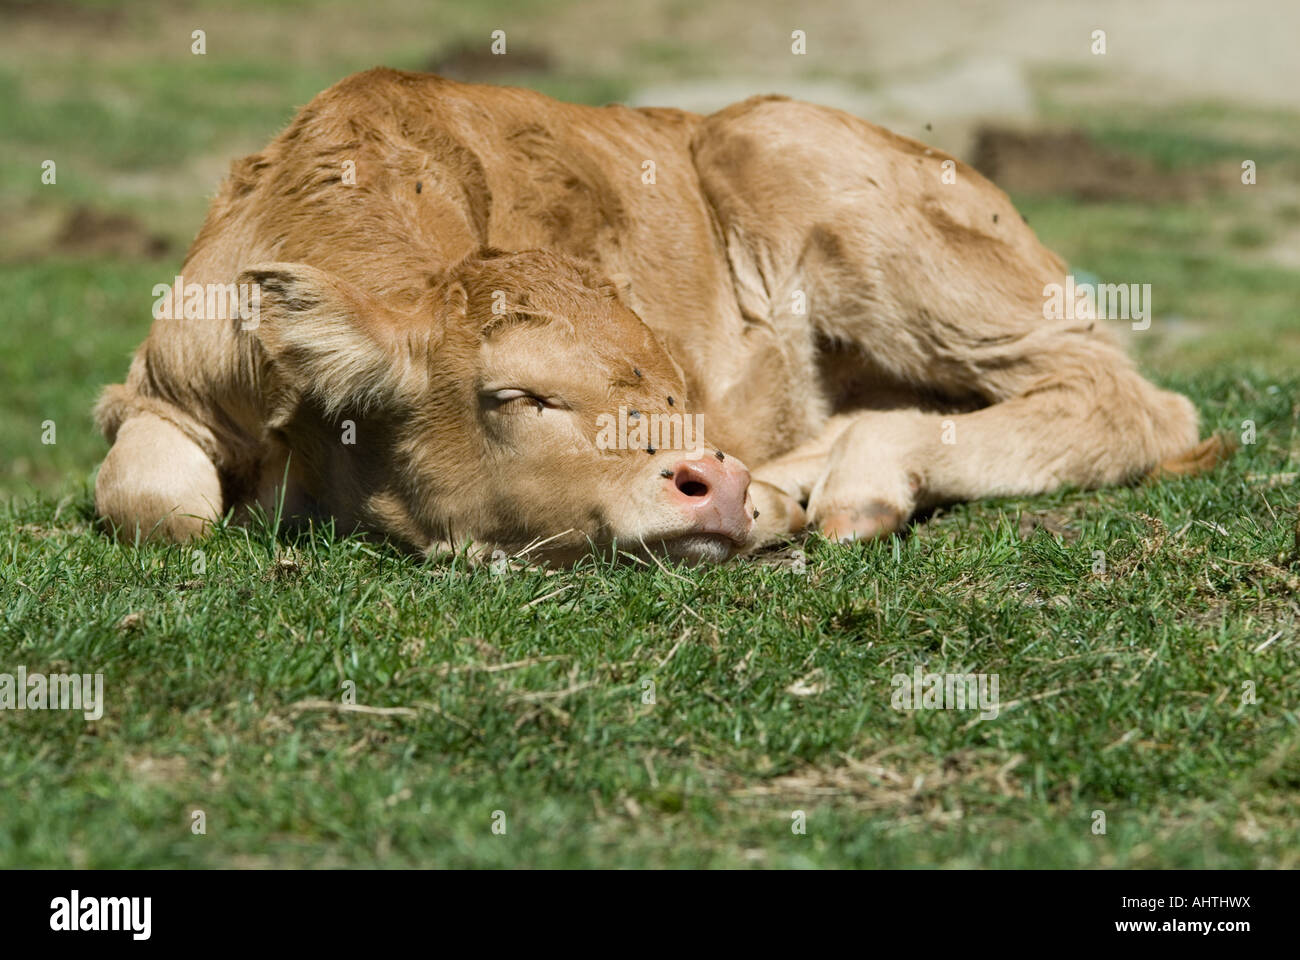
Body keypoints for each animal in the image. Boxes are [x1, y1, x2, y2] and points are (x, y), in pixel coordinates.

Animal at [93, 68, 1223, 564]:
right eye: (520, 395)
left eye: (680, 396)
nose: (715, 480)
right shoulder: (165, 391)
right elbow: (155, 504)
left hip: (829, 184)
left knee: (1125, 397)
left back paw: (852, 478)